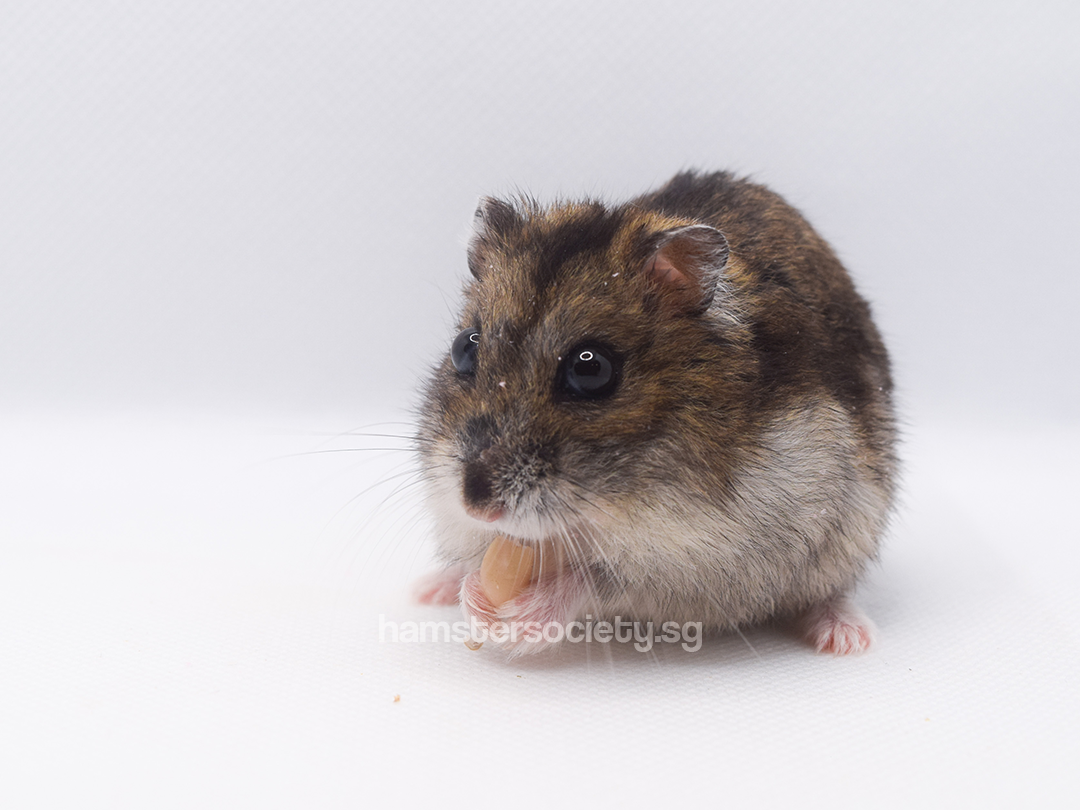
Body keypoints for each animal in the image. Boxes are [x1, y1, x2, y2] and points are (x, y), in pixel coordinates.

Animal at [413, 170, 897, 656]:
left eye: (591, 368)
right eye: (464, 347)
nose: (476, 505)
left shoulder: (705, 562)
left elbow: (594, 578)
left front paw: (512, 620)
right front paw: (472, 601)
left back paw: (848, 637)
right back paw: (429, 589)